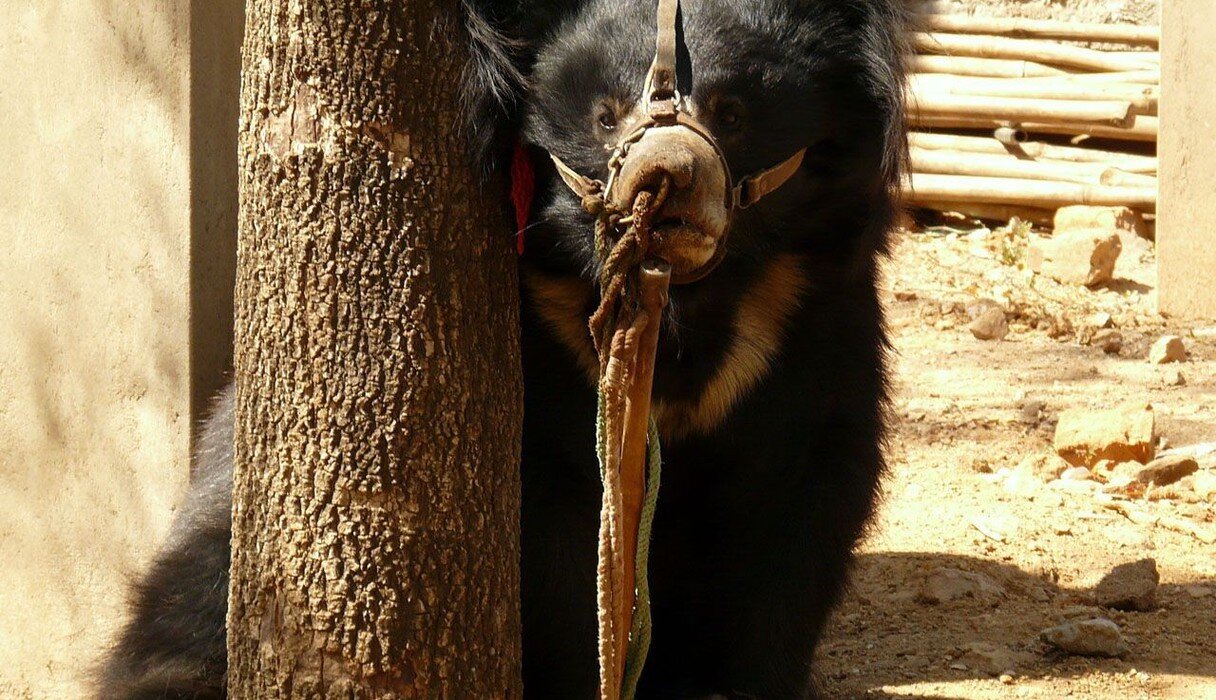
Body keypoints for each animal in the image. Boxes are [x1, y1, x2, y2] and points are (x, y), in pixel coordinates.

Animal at [97, 0, 907, 698]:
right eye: (603, 115)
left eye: (733, 113)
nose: (668, 178)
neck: (682, 306)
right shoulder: (543, 338)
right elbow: (554, 539)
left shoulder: (800, 315)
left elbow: (795, 503)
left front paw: (732, 685)